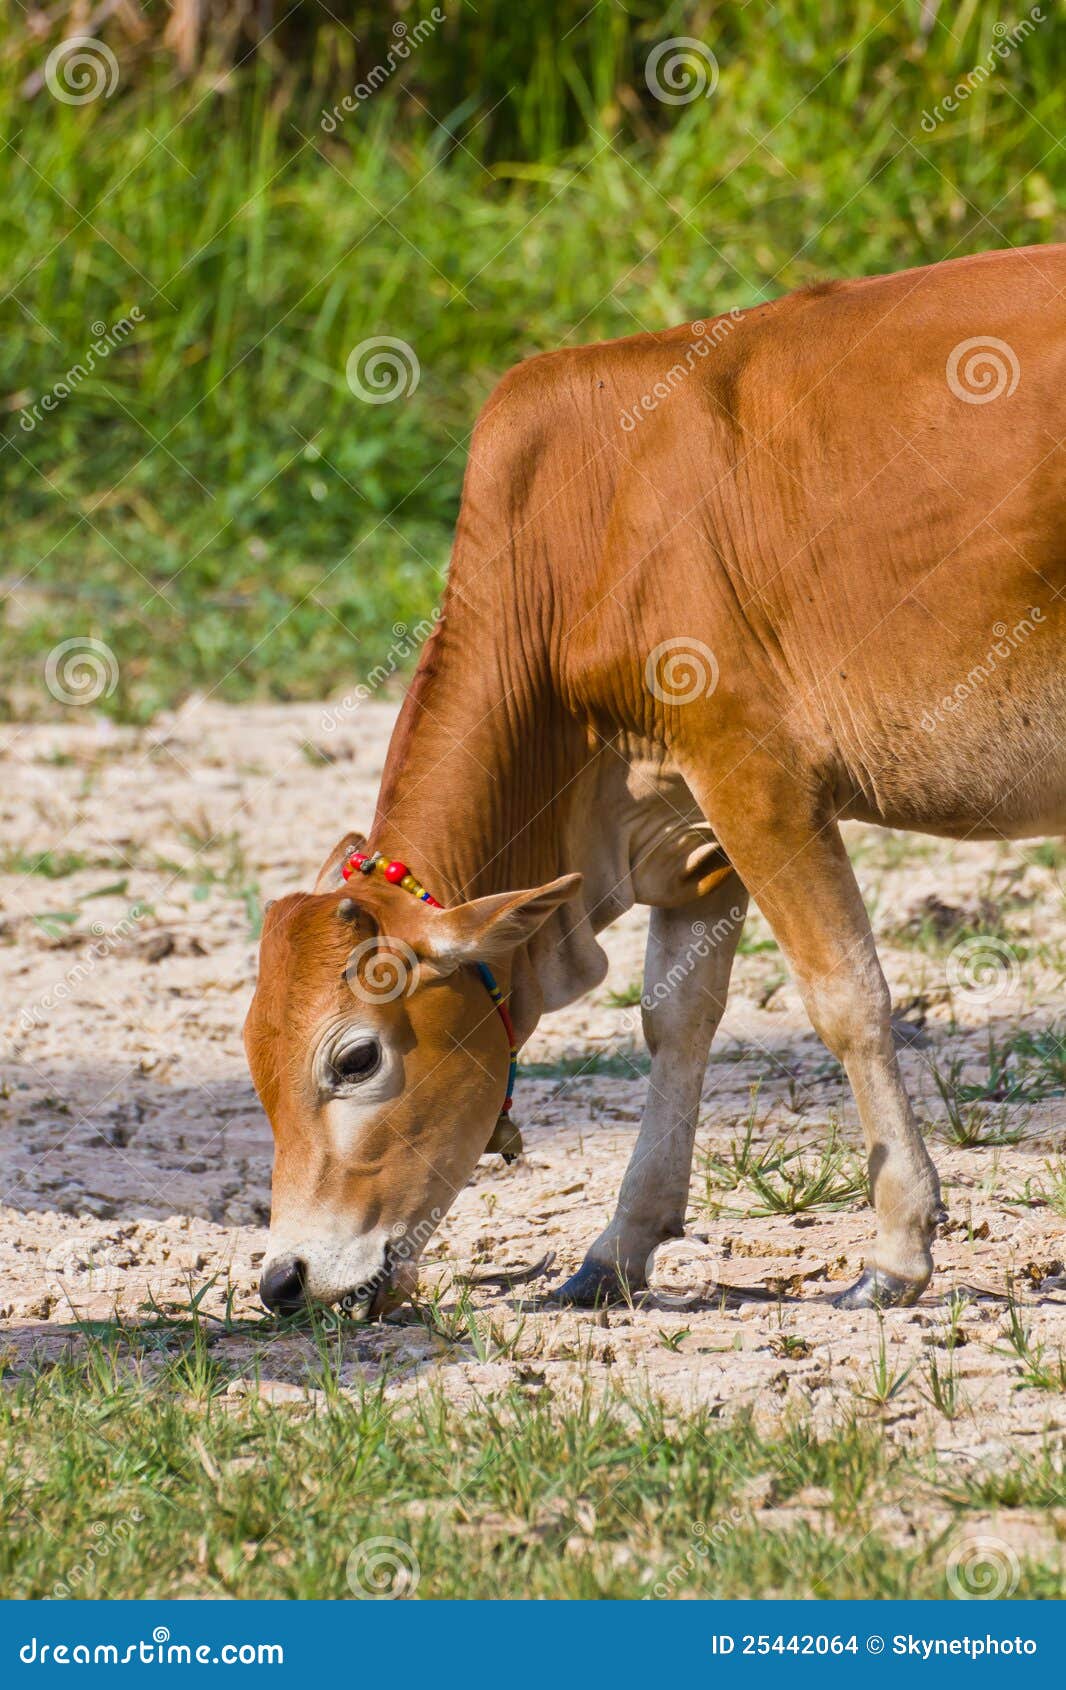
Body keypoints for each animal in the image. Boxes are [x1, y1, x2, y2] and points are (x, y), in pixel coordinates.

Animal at [244, 243, 1066, 1319]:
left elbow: (845, 998)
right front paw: (617, 1248)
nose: (283, 1277)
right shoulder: (689, 833)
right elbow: (675, 1020)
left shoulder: (754, 773)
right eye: (254, 1064)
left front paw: (896, 1248)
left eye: (355, 1056)